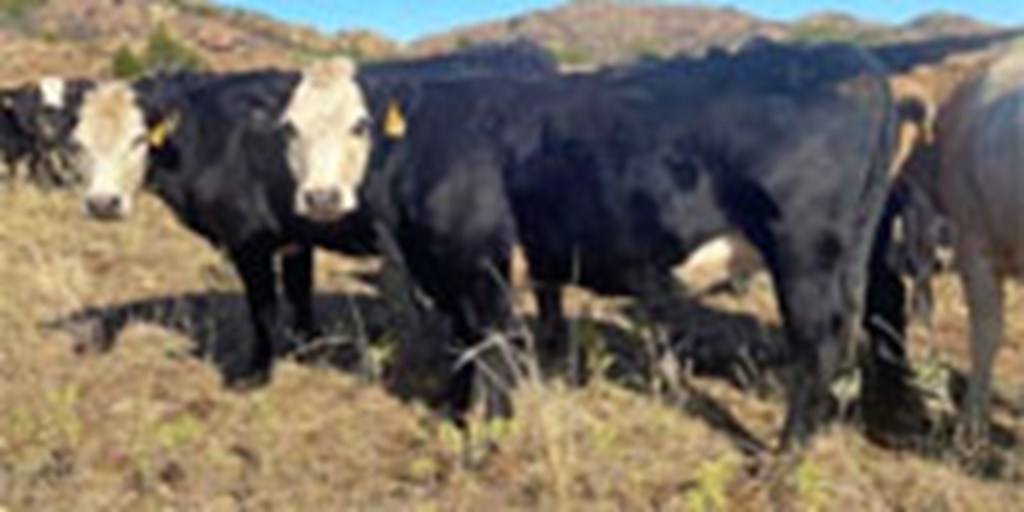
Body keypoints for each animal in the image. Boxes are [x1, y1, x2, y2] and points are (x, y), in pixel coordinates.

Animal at [73, 43, 557, 388]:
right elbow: (299, 289)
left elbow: (263, 305)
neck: (212, 136)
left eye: (139, 139)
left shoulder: (248, 241)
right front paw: (305, 347)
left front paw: (256, 371)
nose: (102, 203)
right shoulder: (296, 232)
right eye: (78, 142)